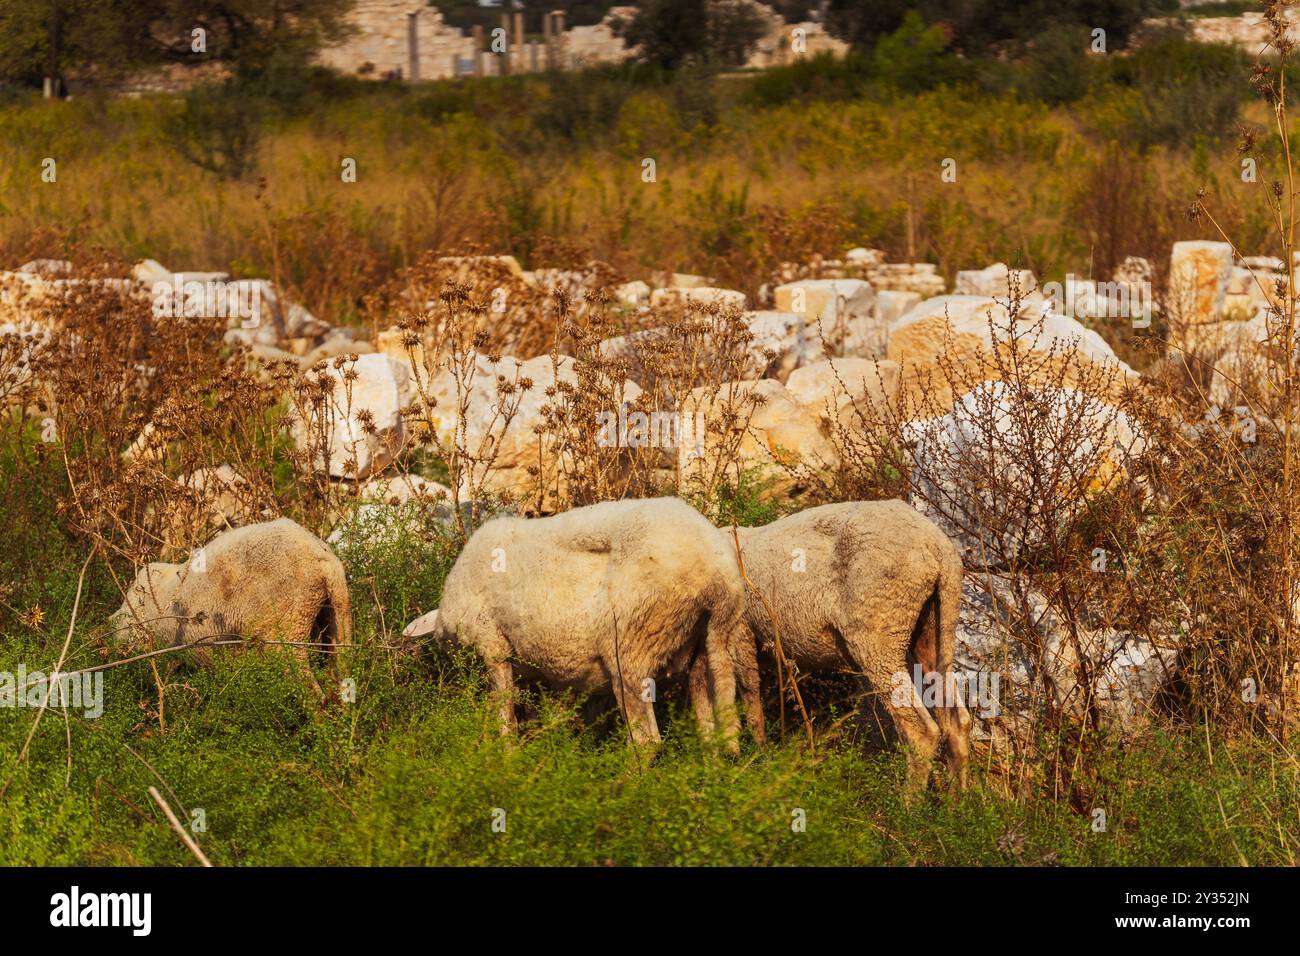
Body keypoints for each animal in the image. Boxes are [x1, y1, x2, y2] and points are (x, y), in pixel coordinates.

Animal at [403, 497, 745, 751]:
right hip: (707, 648)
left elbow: (505, 717)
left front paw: (505, 756)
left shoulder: (494, 647)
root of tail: (720, 576)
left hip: (631, 648)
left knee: (646, 741)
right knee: (709, 732)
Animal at [724, 500, 971, 791]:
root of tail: (939, 547)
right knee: (957, 722)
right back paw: (959, 801)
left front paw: (754, 761)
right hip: (934, 624)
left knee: (920, 731)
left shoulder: (739, 633)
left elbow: (750, 702)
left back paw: (909, 803)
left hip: (878, 630)